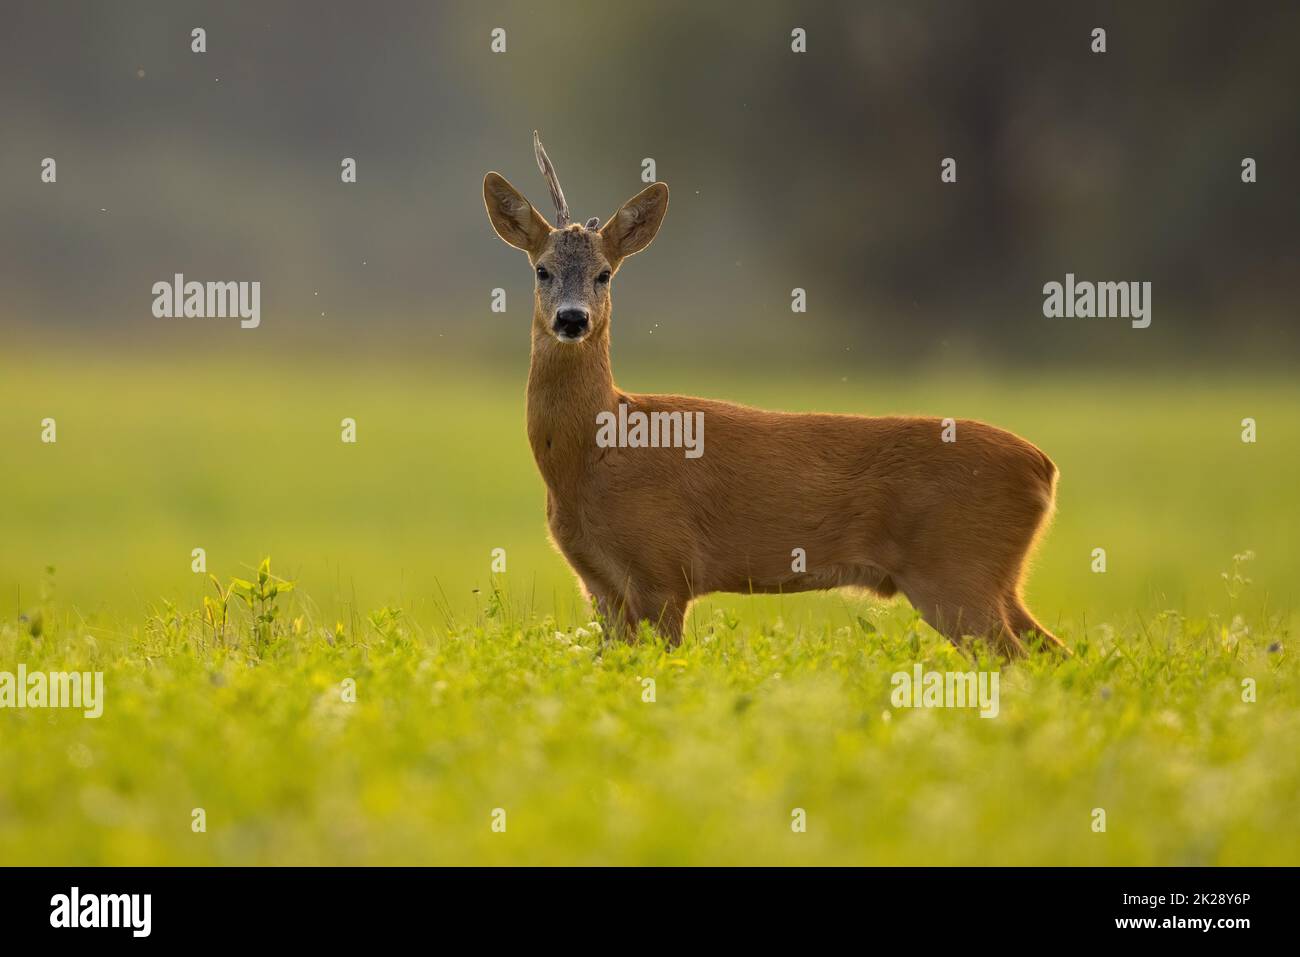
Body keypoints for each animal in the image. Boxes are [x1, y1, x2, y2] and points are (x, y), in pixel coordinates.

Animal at [483, 132, 1066, 659]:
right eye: (542, 270)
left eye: (604, 274)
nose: (572, 319)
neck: (597, 451)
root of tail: (1044, 467)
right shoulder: (600, 586)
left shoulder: (664, 570)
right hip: (993, 580)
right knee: (1054, 652)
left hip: (958, 570)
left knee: (1017, 657)